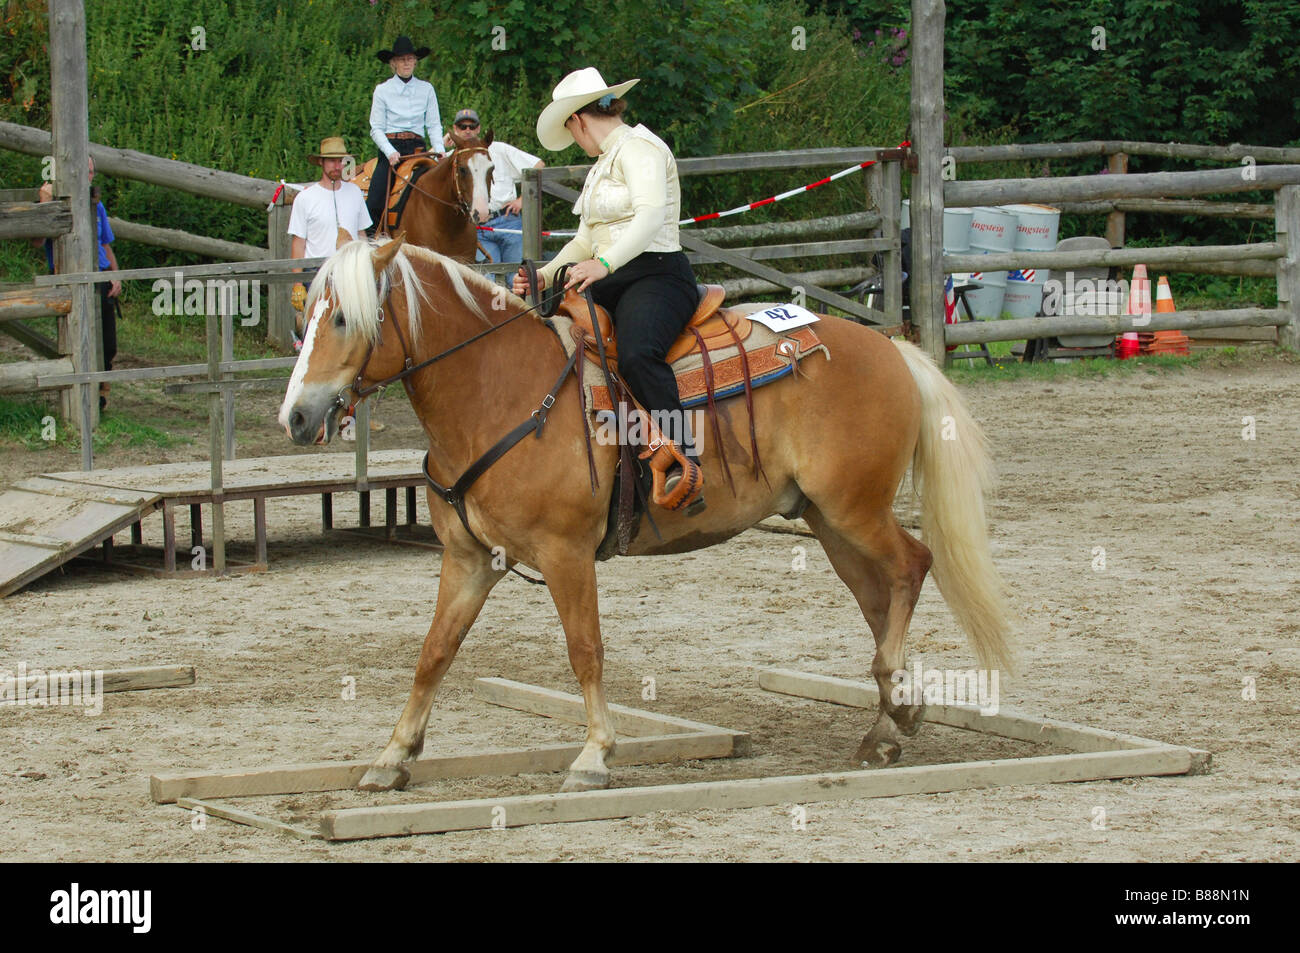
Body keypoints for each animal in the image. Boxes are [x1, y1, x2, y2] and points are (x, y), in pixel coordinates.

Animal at [278, 236, 1014, 794]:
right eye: (308, 317)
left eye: (343, 318)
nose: (296, 417)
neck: (500, 390)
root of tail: (891, 348)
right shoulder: (469, 559)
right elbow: (434, 653)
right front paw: (392, 757)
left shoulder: (566, 554)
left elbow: (585, 650)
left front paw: (594, 755)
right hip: (829, 522)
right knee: (879, 596)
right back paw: (891, 721)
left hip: (854, 509)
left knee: (913, 566)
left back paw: (895, 703)